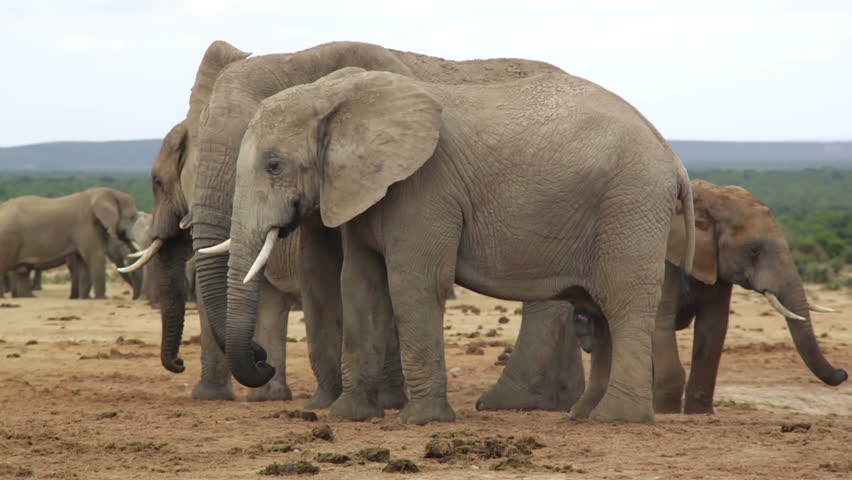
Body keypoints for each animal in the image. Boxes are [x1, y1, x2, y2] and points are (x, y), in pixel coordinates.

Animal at [221, 67, 696, 424]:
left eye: (273, 165)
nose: (262, 359)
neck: (334, 94)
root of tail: (674, 159)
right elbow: (360, 285)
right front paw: (348, 416)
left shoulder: (425, 189)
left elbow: (413, 285)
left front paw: (419, 422)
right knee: (600, 312)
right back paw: (582, 415)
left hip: (630, 208)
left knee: (623, 305)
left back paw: (617, 419)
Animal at [480, 180, 846, 414]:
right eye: (754, 250)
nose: (843, 374)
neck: (711, 200)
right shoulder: (666, 259)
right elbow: (661, 321)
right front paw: (667, 411)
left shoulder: (714, 267)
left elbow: (714, 328)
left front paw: (699, 414)